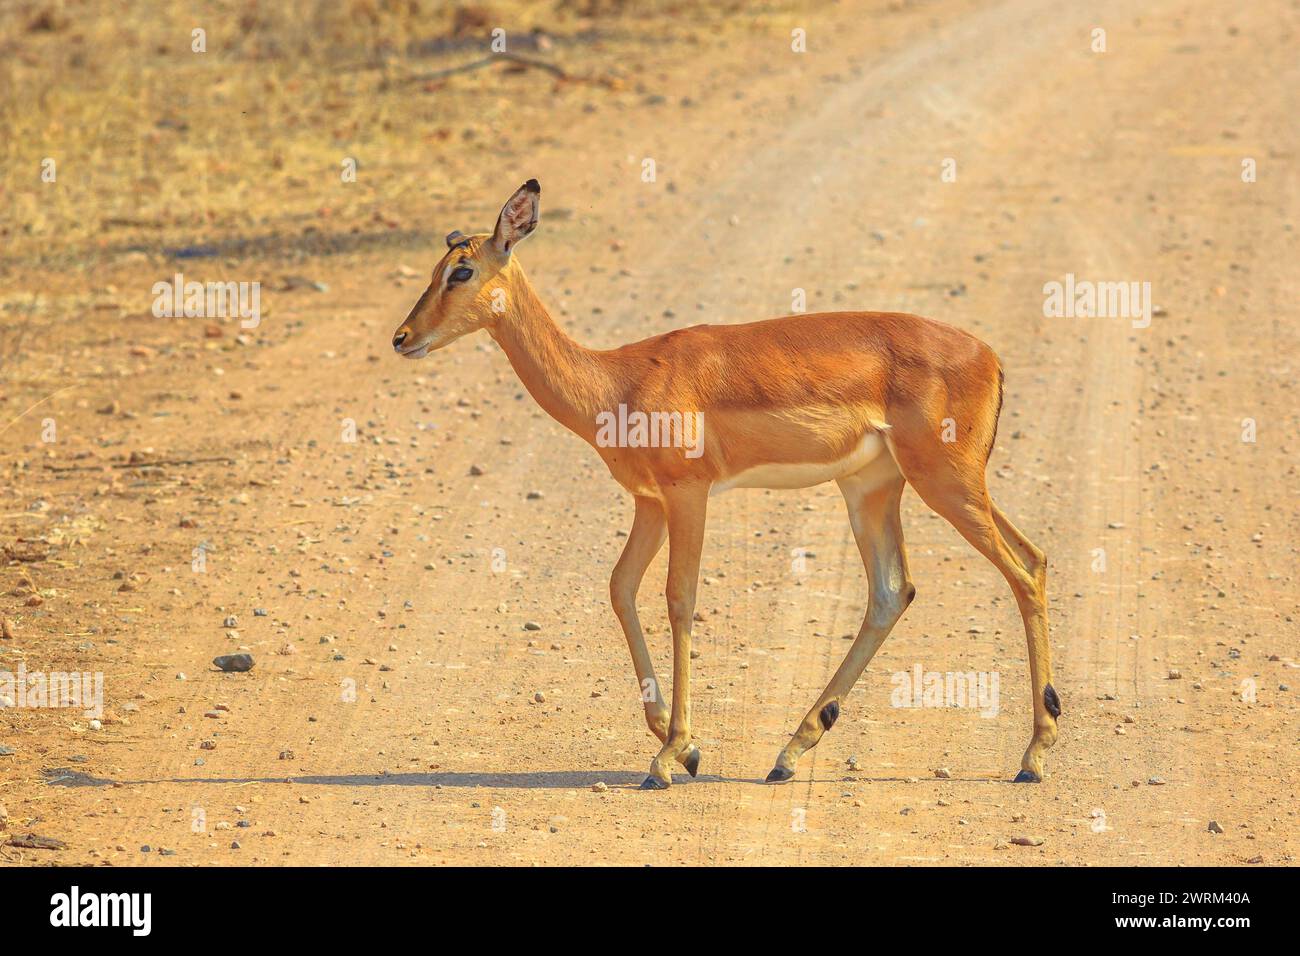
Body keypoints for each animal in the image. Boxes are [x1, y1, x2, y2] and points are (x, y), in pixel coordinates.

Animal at [392, 180, 1061, 790]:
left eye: (462, 270)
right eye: (435, 267)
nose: (402, 338)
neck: (616, 381)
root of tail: (991, 356)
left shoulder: (688, 493)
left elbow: (679, 597)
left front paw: (668, 757)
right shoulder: (650, 502)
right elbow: (620, 587)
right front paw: (679, 745)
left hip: (944, 482)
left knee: (1022, 571)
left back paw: (1033, 757)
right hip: (877, 488)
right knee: (909, 586)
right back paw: (789, 754)